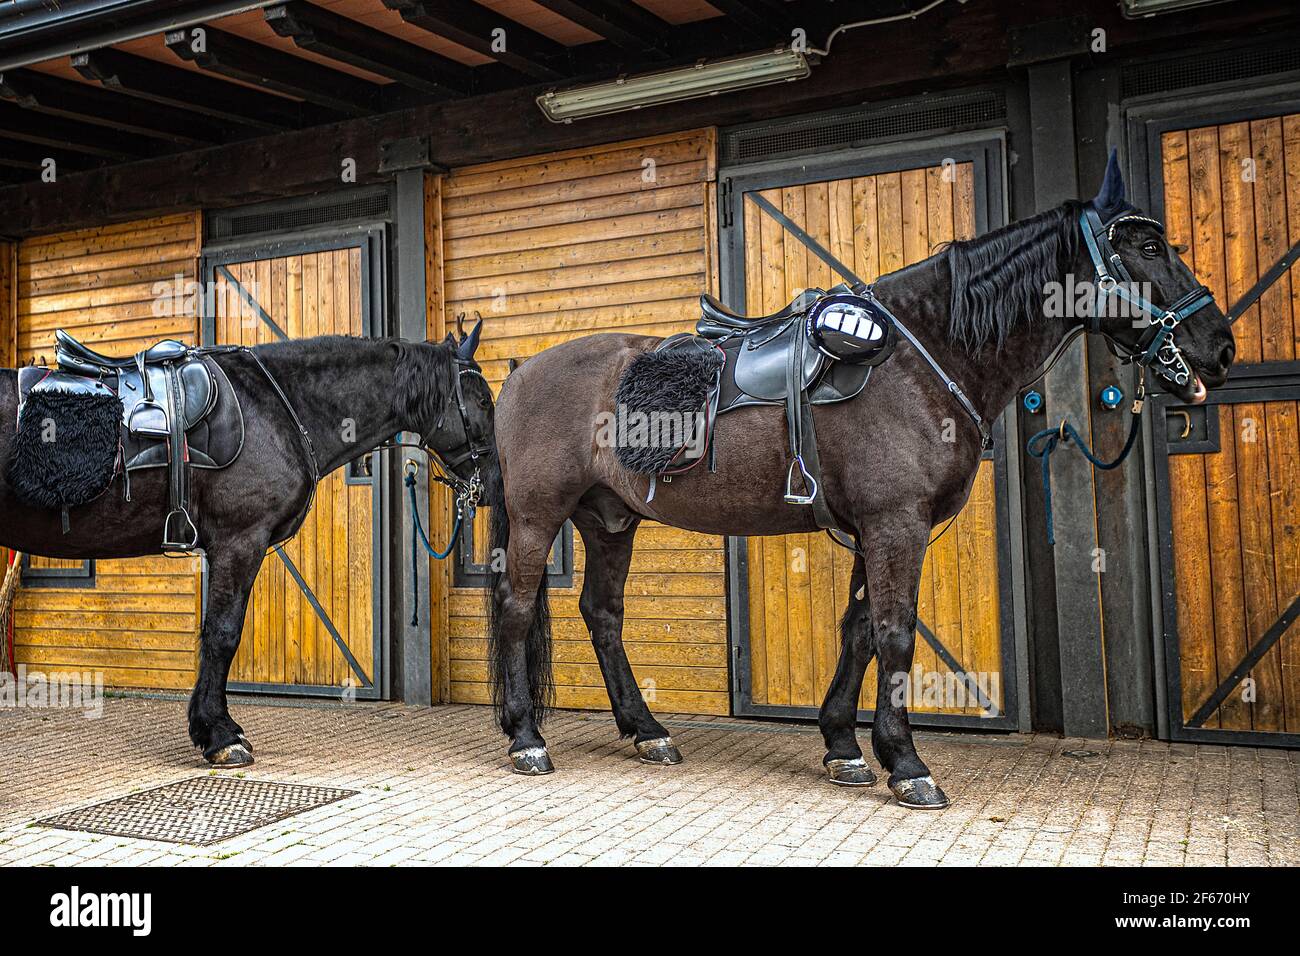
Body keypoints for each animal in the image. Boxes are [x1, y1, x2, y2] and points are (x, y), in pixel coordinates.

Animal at [0, 324, 496, 766]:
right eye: (483, 401)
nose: (492, 482)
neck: (275, 408)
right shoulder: (239, 542)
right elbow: (222, 634)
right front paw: (219, 735)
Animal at [482, 152, 1236, 808]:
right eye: (1147, 247)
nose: (1220, 347)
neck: (918, 360)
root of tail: (519, 376)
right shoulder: (895, 523)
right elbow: (895, 633)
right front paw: (906, 763)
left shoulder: (873, 528)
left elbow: (858, 631)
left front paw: (843, 745)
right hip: (539, 515)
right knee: (517, 609)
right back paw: (526, 737)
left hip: (609, 519)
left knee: (603, 616)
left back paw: (647, 731)